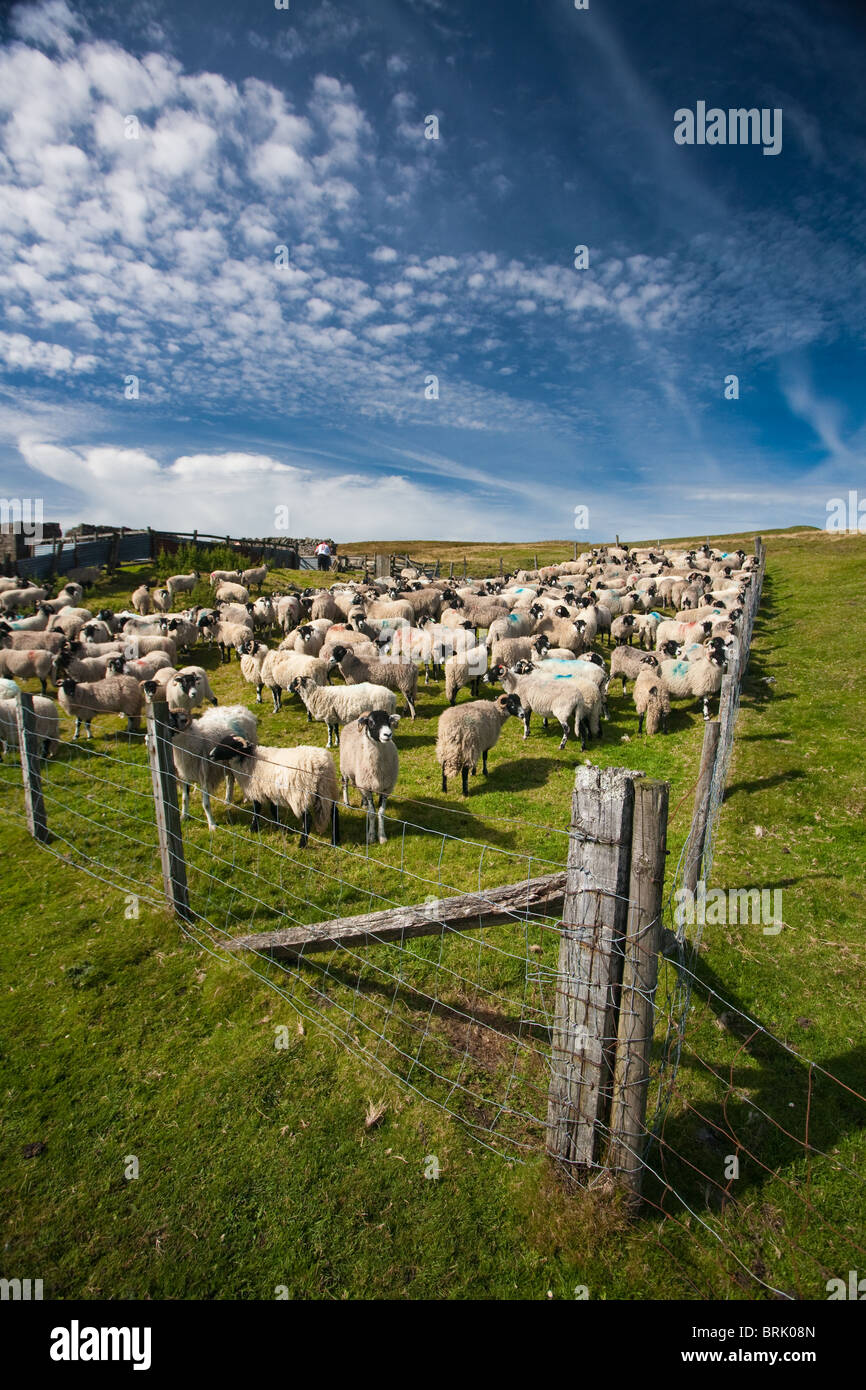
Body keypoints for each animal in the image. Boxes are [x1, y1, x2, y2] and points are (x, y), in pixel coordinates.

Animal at [207, 736, 339, 845]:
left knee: (307, 818)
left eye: (229, 745)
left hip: (300, 795)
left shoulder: (256, 790)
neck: (248, 759)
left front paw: (253, 829)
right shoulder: (271, 791)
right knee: (334, 811)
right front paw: (280, 827)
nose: (211, 755)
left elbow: (256, 810)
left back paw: (302, 843)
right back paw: (335, 840)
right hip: (327, 791)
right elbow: (273, 809)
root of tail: (321, 764)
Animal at [339, 710, 401, 844]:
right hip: (345, 768)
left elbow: (381, 813)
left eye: (389, 720)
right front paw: (371, 836)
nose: (388, 734)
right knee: (345, 783)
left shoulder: (386, 788)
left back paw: (364, 803)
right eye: (371, 722)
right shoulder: (367, 787)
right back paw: (347, 803)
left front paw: (382, 837)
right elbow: (372, 813)